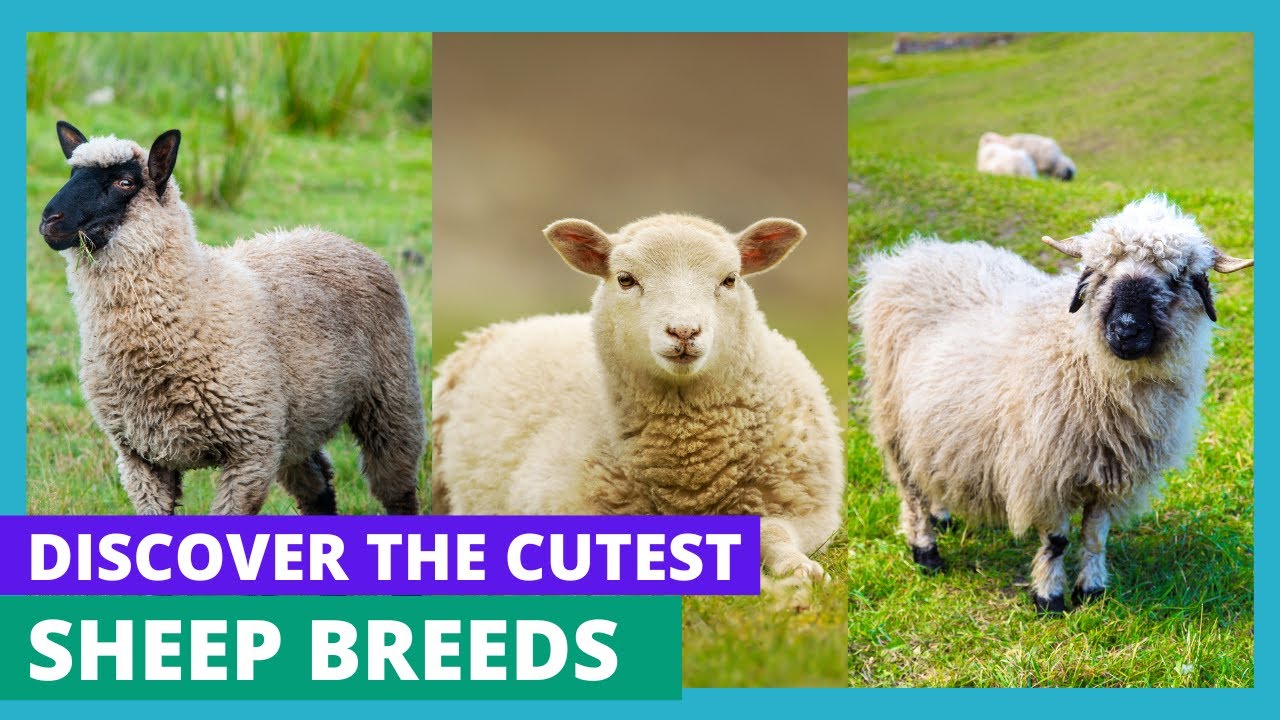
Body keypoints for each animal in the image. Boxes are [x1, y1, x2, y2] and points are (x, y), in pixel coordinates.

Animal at [38, 121, 425, 515]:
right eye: (72, 173)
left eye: (125, 182)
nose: (49, 220)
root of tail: (330, 235)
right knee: (316, 484)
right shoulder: (139, 459)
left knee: (396, 489)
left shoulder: (250, 453)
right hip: (295, 424)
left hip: (390, 397)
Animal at [432, 213, 844, 583]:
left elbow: (773, 533)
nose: (683, 331)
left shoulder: (806, 508)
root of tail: (523, 321)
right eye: (625, 279)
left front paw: (800, 570)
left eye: (730, 279)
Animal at [854, 194, 1251, 613]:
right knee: (910, 489)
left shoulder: (1109, 474)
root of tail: (911, 253)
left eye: (1176, 279)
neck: (1085, 357)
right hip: (893, 418)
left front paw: (1092, 590)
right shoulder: (1047, 472)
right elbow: (1056, 541)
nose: (1125, 330)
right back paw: (925, 551)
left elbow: (1095, 536)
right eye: (1100, 274)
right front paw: (1049, 597)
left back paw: (942, 514)